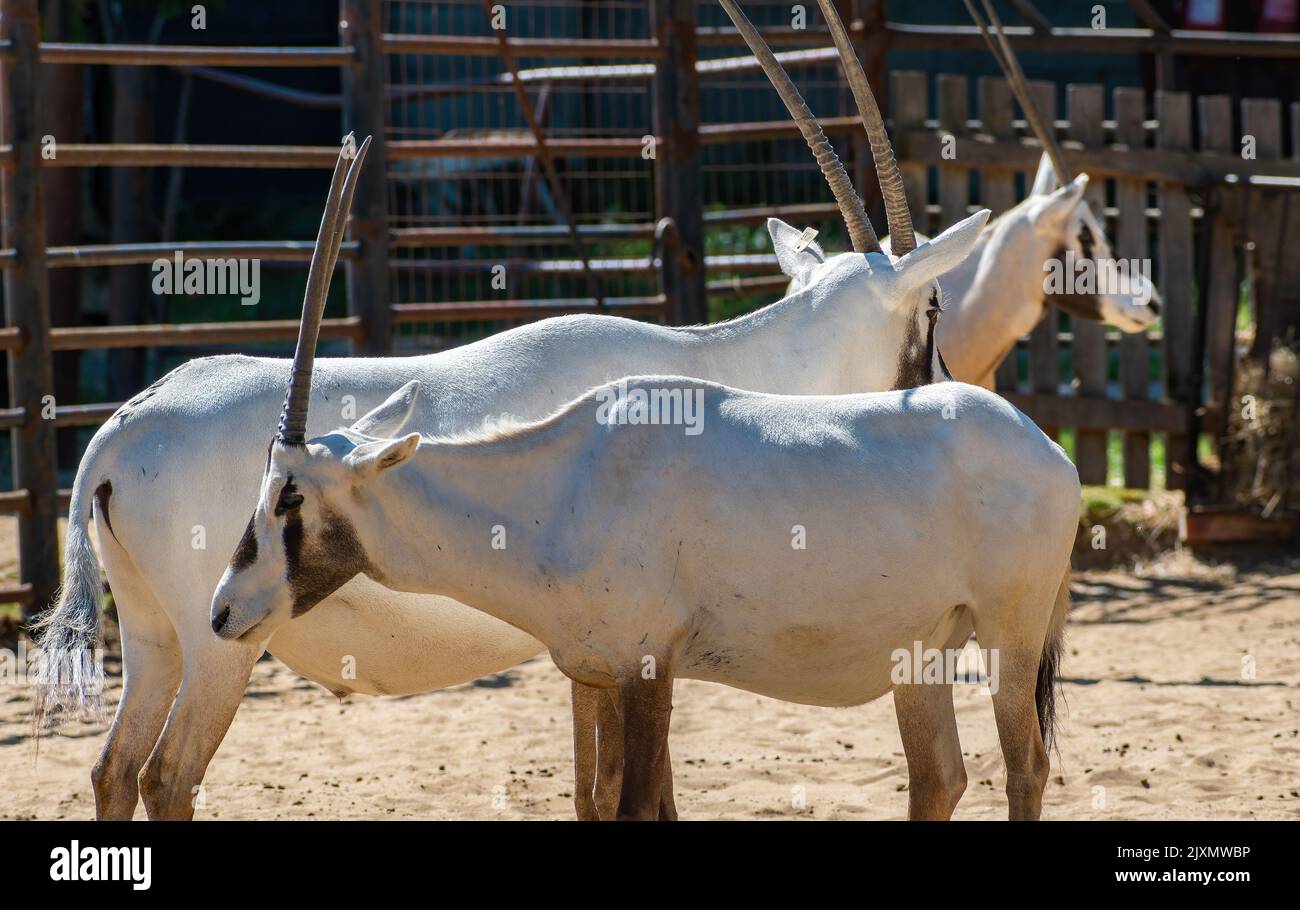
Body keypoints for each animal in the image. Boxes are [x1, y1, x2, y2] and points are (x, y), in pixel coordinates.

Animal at [35, 16, 987, 821]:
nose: (952, 396)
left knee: (114, 770)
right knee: (167, 776)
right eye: (936, 307)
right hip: (221, 650)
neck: (725, 370)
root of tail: (120, 431)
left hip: (155, 641)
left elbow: (592, 795)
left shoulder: (593, 650)